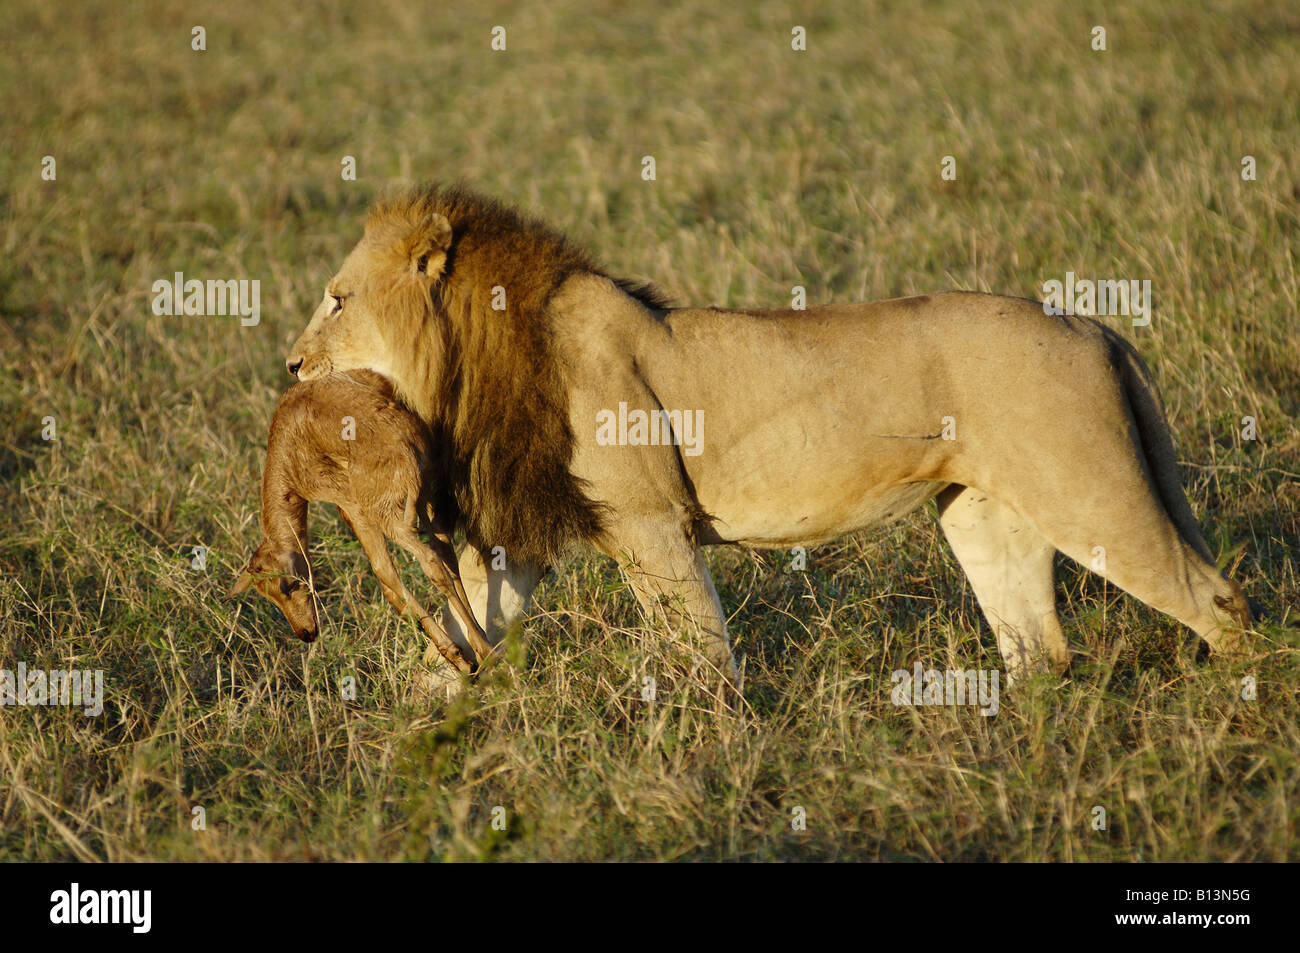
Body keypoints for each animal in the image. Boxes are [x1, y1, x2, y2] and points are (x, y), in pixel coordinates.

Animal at [285, 183, 1252, 688]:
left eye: (336, 299)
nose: (291, 365)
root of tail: (1092, 325)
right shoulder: (523, 536)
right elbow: (462, 632)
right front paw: (420, 735)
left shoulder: (650, 523)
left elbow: (701, 647)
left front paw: (711, 746)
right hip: (981, 511)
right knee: (1038, 649)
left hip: (1090, 492)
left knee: (1217, 601)